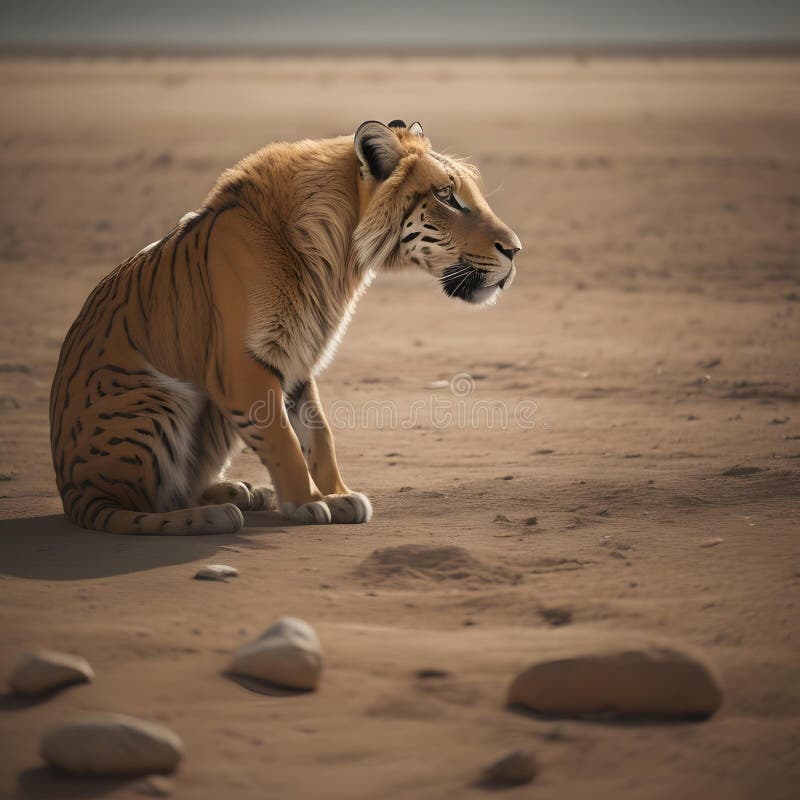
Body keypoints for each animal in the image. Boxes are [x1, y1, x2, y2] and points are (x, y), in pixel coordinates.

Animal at [49, 119, 521, 534]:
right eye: (447, 197)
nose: (516, 250)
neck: (341, 259)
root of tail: (71, 490)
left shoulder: (295, 357)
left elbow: (318, 434)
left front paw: (339, 495)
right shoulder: (242, 366)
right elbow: (284, 440)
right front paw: (307, 503)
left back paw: (241, 492)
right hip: (160, 397)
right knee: (134, 508)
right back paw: (215, 515)